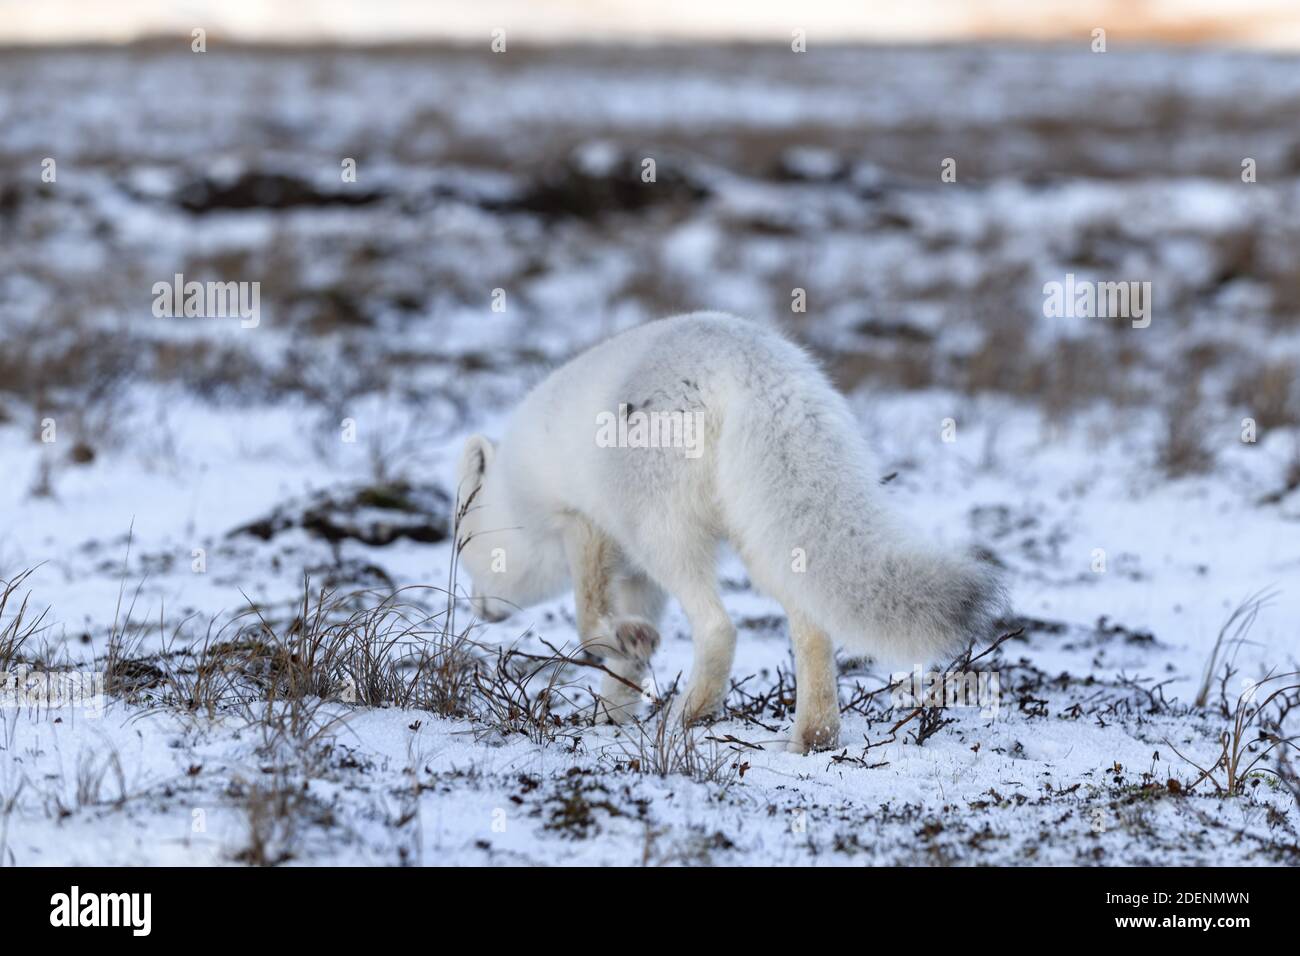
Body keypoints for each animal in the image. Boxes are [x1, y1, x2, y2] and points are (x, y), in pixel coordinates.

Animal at [454, 312, 1006, 752]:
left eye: (468, 549)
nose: (478, 608)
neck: (512, 492)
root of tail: (753, 366)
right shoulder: (636, 577)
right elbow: (627, 665)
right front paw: (609, 710)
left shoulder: (582, 526)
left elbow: (590, 619)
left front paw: (618, 653)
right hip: (764, 535)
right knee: (811, 627)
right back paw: (814, 737)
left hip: (663, 531)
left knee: (719, 626)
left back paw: (687, 717)